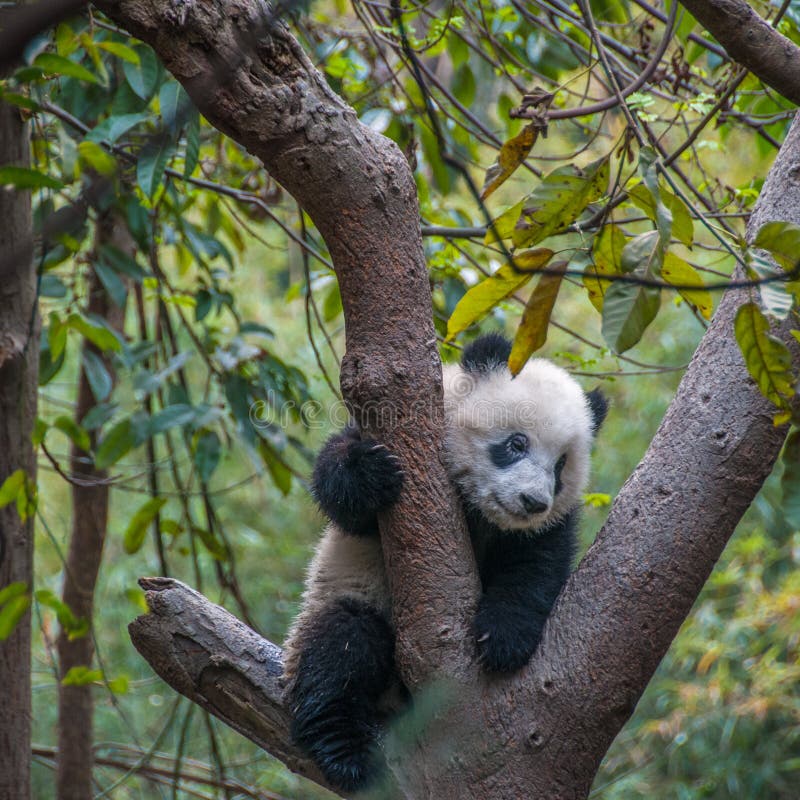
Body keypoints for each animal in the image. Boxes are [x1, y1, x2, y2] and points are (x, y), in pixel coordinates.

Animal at [282, 333, 607, 791]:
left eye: (560, 466)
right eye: (516, 443)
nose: (532, 502)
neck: (481, 511)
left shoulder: (543, 528)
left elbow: (535, 565)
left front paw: (503, 639)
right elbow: (341, 489)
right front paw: (369, 473)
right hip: (344, 600)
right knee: (341, 646)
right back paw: (343, 751)